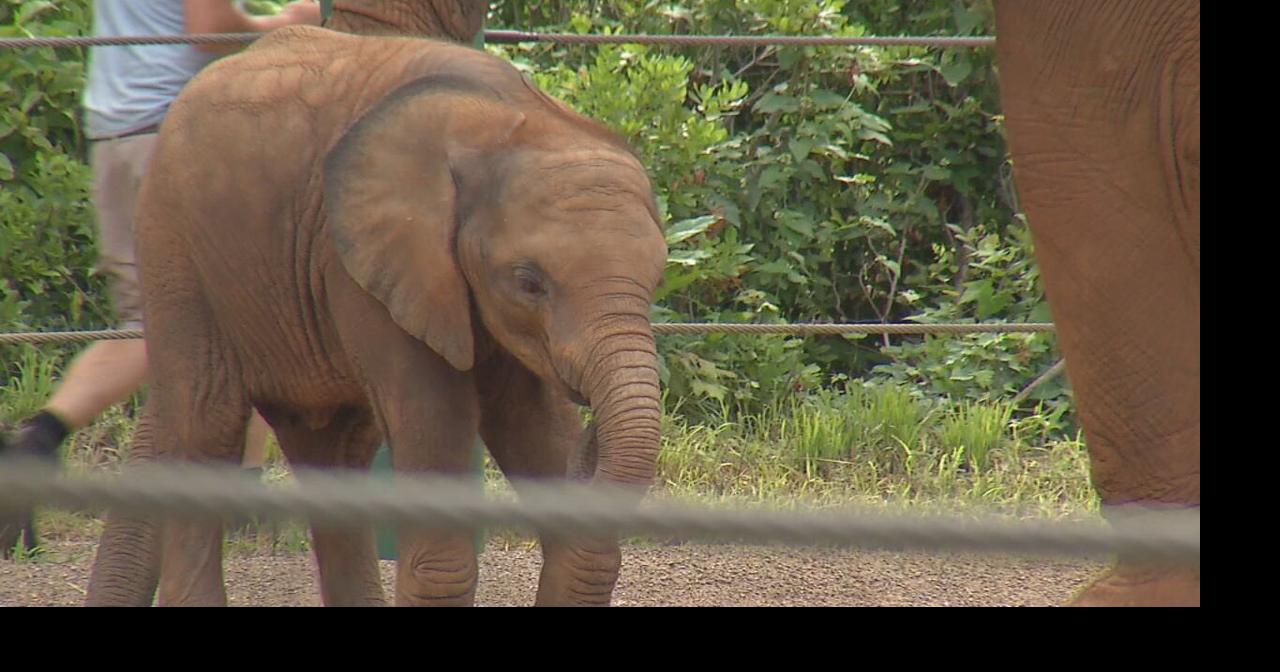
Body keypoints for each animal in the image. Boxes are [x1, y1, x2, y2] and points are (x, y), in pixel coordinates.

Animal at [84, 1, 667, 607]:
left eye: (659, 276)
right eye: (529, 282)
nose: (592, 433)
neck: (508, 120)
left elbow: (535, 434)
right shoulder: (363, 265)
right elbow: (443, 551)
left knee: (333, 450)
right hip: (174, 244)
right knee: (204, 422)